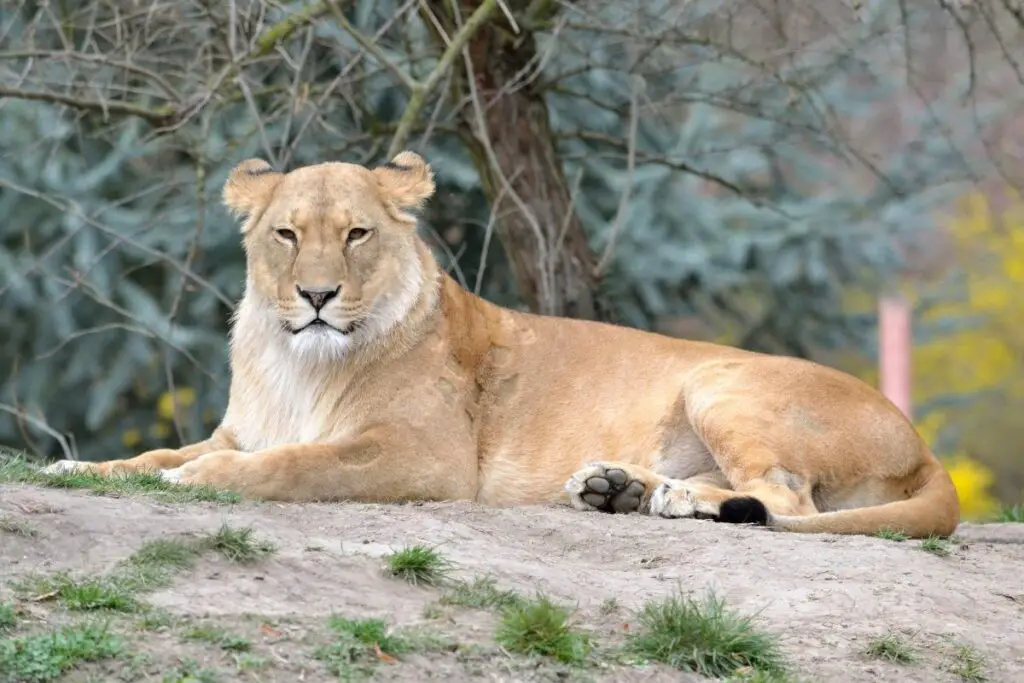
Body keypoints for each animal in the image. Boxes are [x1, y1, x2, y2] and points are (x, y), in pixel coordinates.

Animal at [43, 151, 960, 538]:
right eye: (286, 234)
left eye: (357, 234)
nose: (316, 296)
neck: (298, 361)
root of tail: (921, 443)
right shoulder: (237, 427)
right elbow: (152, 455)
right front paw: (80, 467)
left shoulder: (421, 454)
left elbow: (295, 464)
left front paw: (205, 482)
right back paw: (619, 488)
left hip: (721, 382)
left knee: (785, 502)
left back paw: (672, 500)